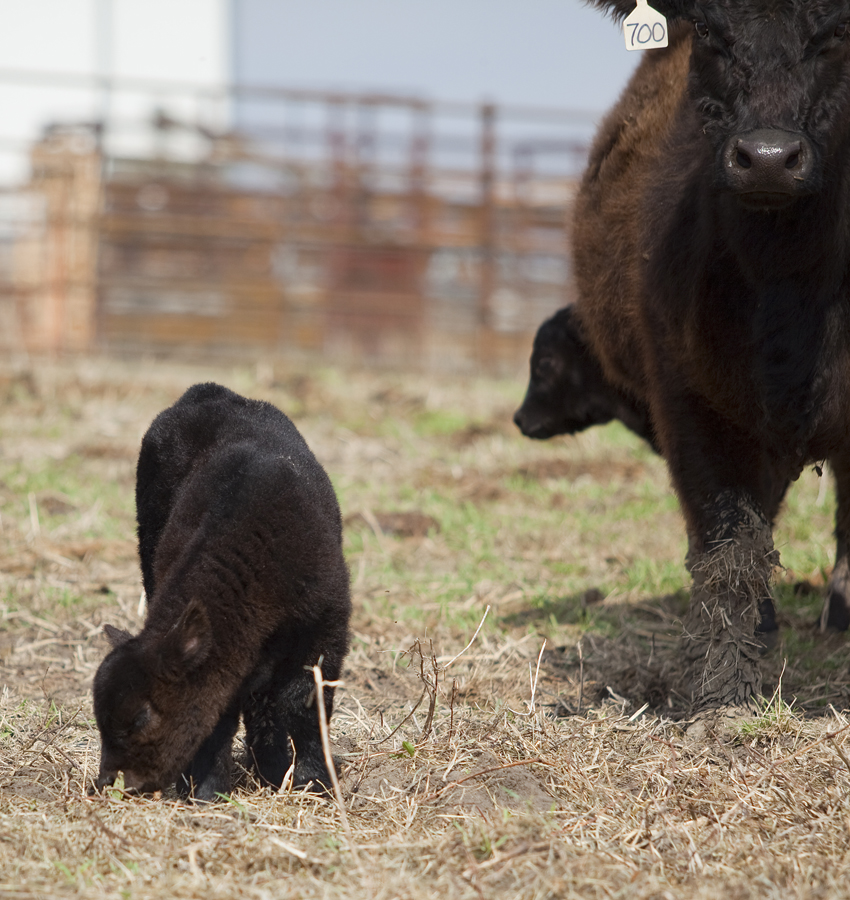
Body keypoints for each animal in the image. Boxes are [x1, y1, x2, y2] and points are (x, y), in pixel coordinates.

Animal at [93, 383, 351, 801]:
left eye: (141, 717)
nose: (109, 781)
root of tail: (208, 391)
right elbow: (221, 712)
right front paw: (206, 791)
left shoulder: (326, 628)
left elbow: (305, 703)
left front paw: (314, 781)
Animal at [575, 1, 850, 705]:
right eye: (709, 30)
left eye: (838, 32)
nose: (769, 158)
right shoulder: (691, 404)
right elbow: (729, 547)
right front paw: (726, 688)